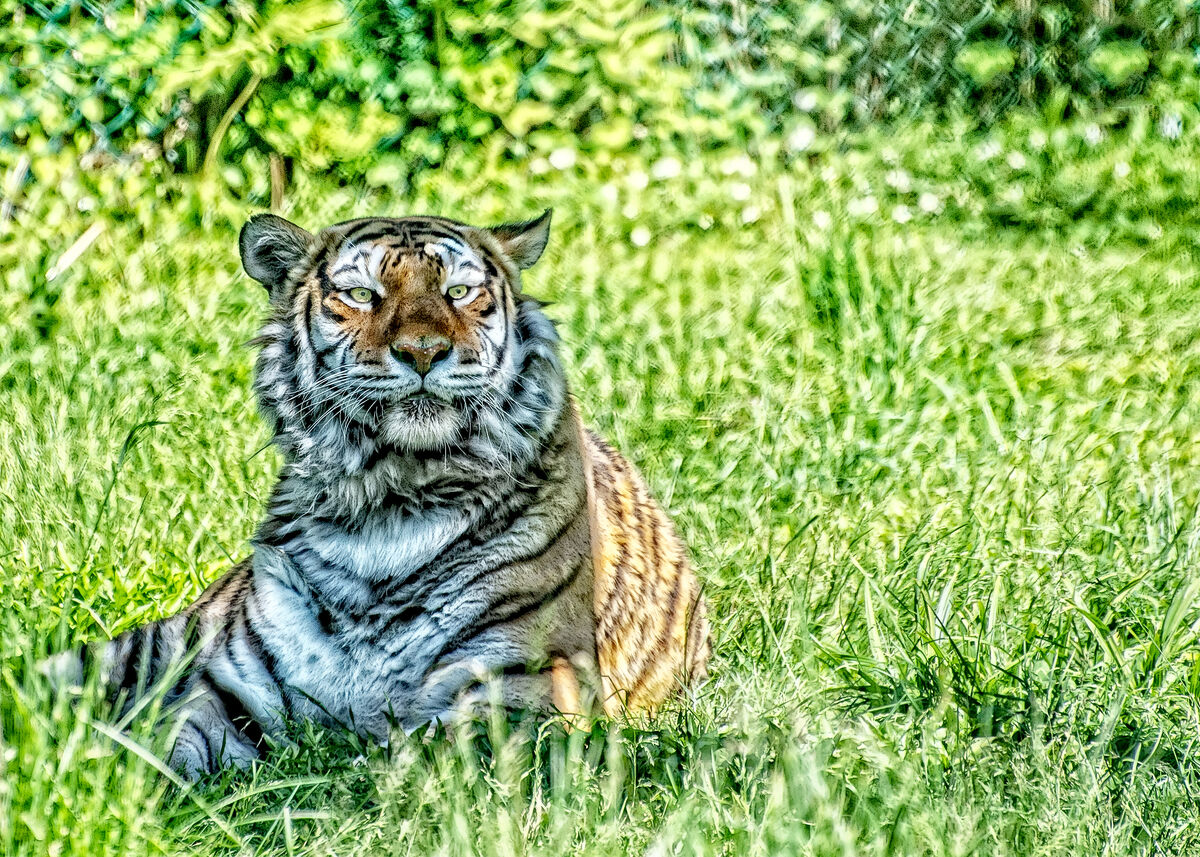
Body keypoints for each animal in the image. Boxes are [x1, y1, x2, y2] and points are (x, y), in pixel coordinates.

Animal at [44, 209, 710, 778]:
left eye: (458, 292)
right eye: (362, 295)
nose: (423, 352)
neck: (388, 503)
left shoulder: (527, 685)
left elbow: (425, 745)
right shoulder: (232, 687)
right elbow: (174, 743)